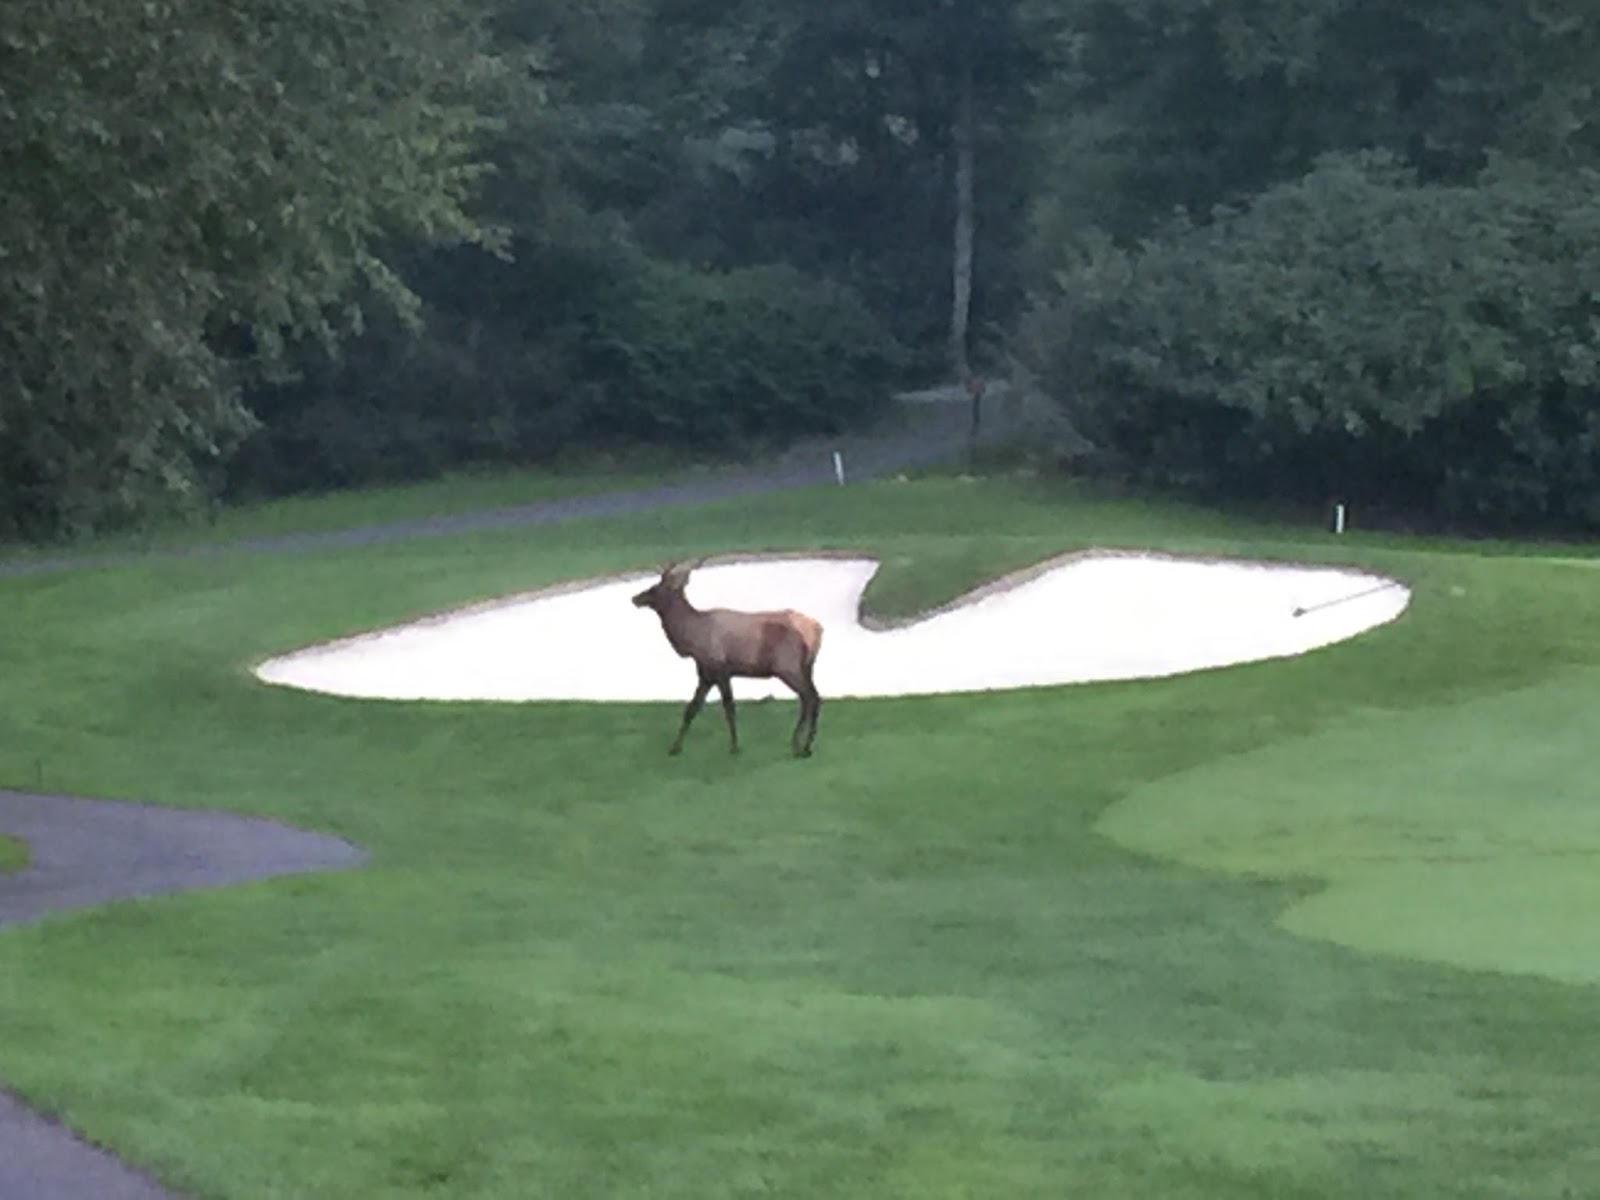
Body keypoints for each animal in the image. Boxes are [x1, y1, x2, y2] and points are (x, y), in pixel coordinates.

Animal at [631, 560, 823, 758]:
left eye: (654, 588)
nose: (635, 598)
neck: (692, 639)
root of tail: (818, 630)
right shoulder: (705, 674)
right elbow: (692, 708)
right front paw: (675, 747)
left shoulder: (721, 670)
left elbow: (729, 708)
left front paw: (734, 746)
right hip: (806, 667)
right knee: (812, 697)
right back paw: (803, 745)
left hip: (788, 667)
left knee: (810, 697)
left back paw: (801, 745)